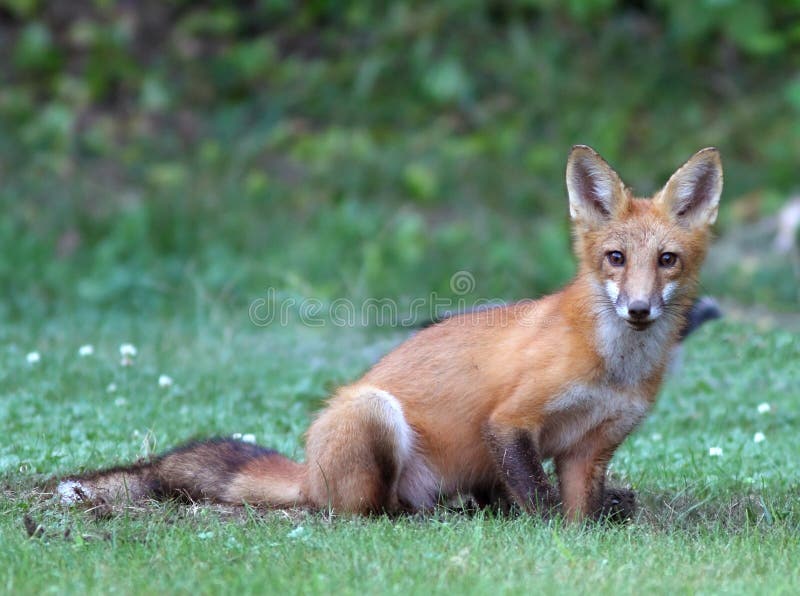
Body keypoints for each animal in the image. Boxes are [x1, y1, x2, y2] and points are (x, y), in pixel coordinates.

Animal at [57, 145, 723, 522]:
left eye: (666, 260)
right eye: (615, 258)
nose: (638, 309)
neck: (615, 368)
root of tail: (308, 469)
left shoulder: (592, 448)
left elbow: (578, 514)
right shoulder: (511, 421)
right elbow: (541, 502)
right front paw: (545, 538)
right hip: (374, 415)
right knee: (362, 512)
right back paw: (410, 519)